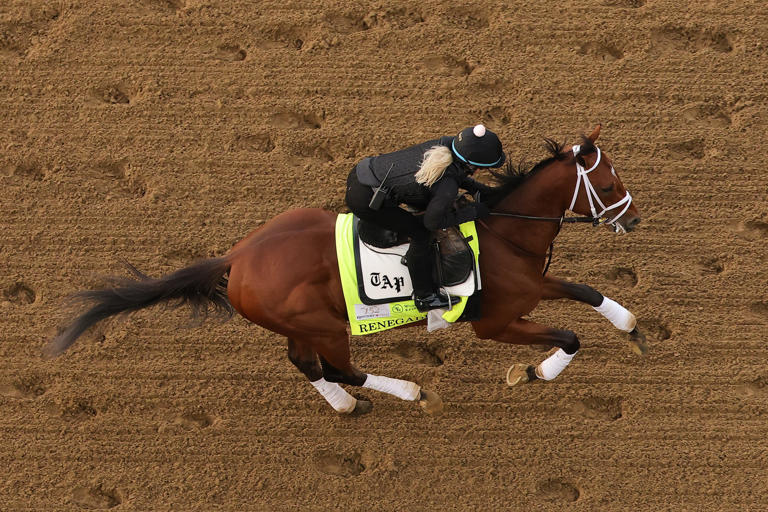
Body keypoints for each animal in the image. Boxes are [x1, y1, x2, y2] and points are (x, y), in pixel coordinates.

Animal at [45, 125, 644, 416]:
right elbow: (568, 336)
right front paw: (533, 371)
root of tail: (237, 258)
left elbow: (587, 291)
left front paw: (633, 329)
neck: (504, 235)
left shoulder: (531, 285)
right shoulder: (494, 321)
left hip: (303, 323)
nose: (634, 217)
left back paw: (348, 407)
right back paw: (412, 393)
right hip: (328, 324)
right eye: (608, 182)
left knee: (308, 365)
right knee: (340, 367)